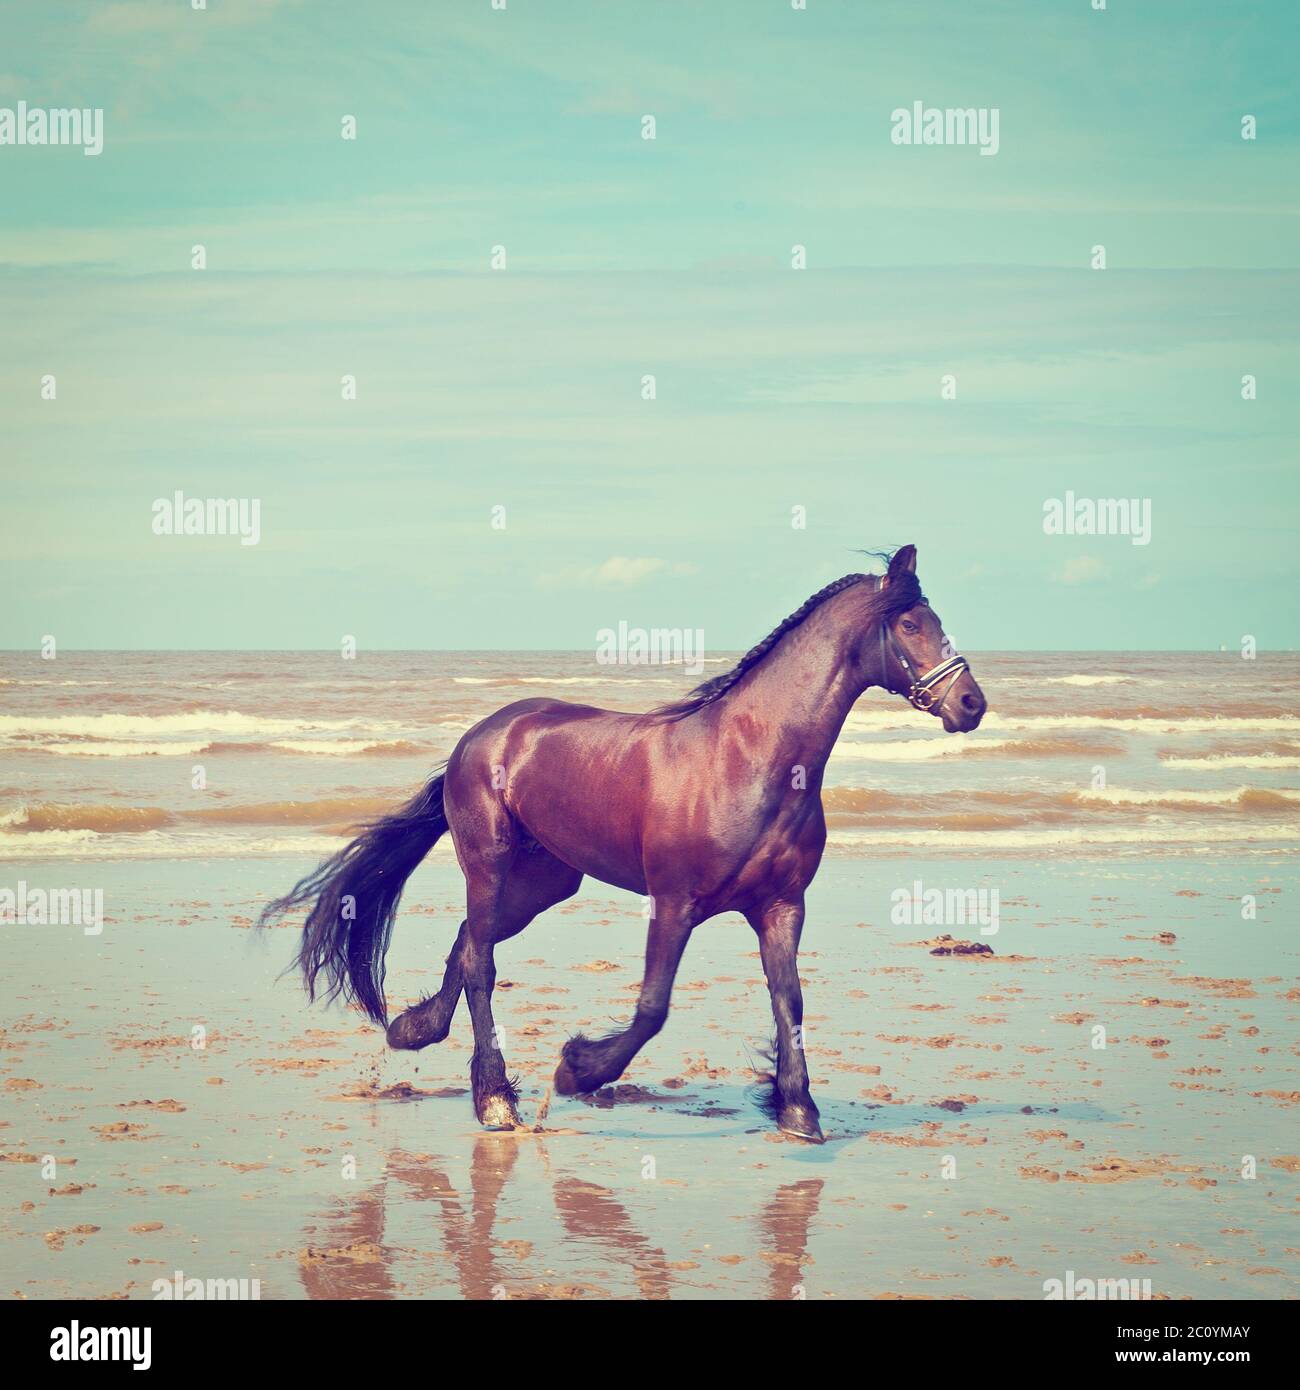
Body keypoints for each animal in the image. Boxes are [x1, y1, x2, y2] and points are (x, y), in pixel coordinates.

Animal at [260, 544, 986, 1142]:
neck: (752, 760)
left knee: (469, 945)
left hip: (544, 882)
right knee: (481, 964)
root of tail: (481, 736)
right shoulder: (674, 902)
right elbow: (652, 1007)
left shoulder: (782, 906)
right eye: (912, 625)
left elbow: (791, 1001)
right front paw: (575, 1069)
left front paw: (799, 1112)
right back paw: (495, 1102)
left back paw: (417, 1032)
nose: (972, 704)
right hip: (489, 864)